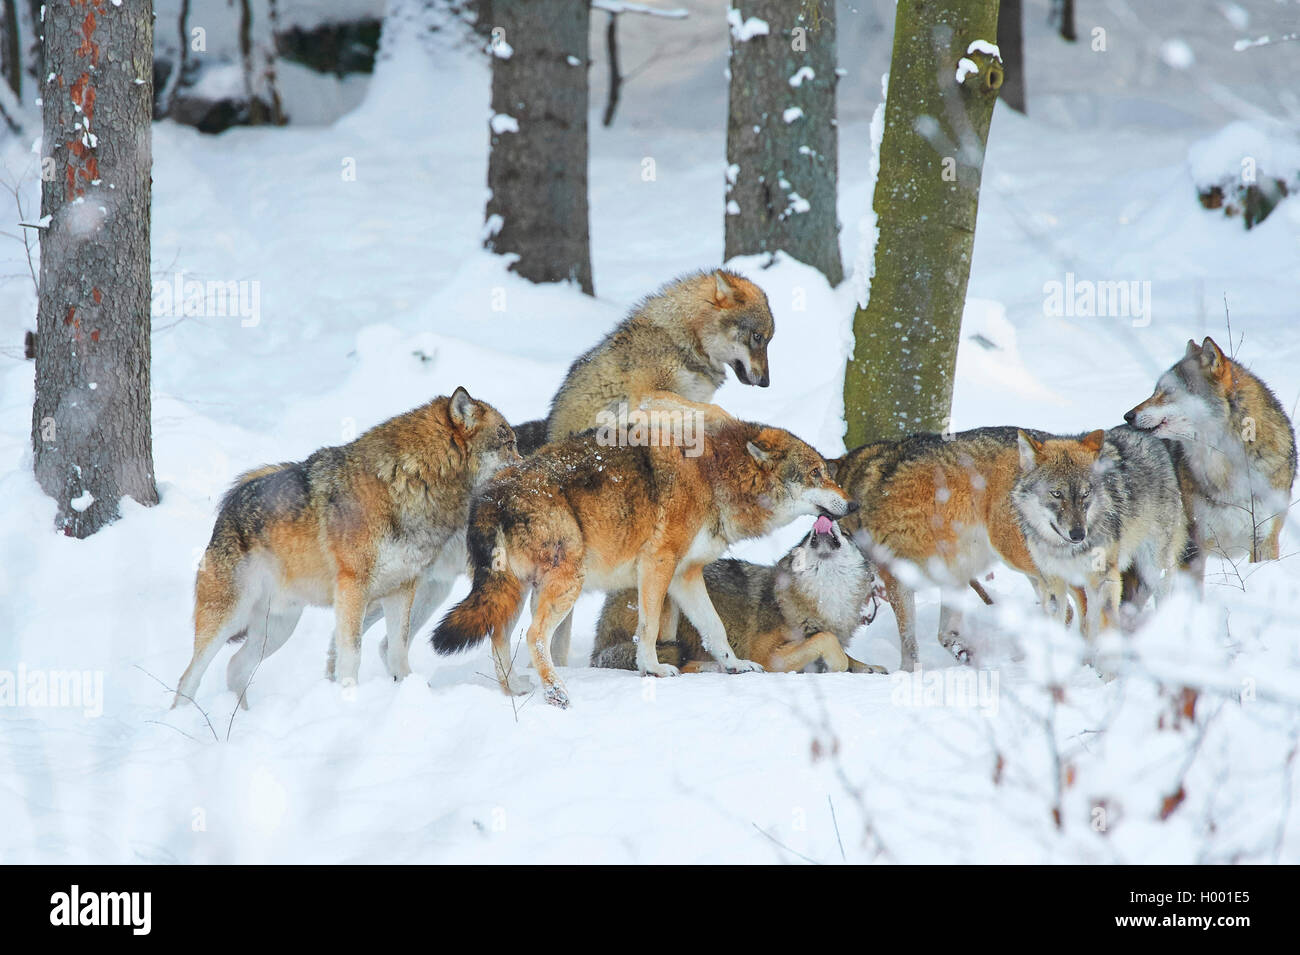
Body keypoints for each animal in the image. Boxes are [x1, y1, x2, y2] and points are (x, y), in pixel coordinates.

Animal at [173, 388, 519, 707]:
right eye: (510, 444)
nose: (527, 468)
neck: (413, 480)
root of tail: (230, 505)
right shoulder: (353, 588)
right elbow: (352, 653)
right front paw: (349, 698)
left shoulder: (403, 588)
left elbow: (397, 649)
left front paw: (407, 690)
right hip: (229, 618)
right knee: (189, 677)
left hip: (279, 628)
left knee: (235, 667)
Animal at [591, 515, 885, 674]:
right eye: (804, 538)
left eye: (845, 533)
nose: (823, 519)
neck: (825, 600)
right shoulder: (768, 654)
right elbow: (828, 641)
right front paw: (840, 666)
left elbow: (843, 650)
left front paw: (869, 667)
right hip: (667, 598)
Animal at [835, 428, 1055, 671]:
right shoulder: (955, 575)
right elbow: (946, 635)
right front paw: (969, 659)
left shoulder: (896, 578)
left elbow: (908, 642)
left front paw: (906, 673)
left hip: (1014, 554)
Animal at [1012, 427, 1188, 637]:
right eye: (1056, 494)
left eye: (1085, 493)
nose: (1078, 535)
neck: (1065, 550)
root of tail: (1146, 434)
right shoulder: (1053, 582)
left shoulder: (1103, 579)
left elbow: (1104, 625)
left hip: (1154, 567)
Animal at [1124, 337, 1296, 575]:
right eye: (1154, 391)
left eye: (1167, 391)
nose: (1127, 416)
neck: (1225, 467)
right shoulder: (1193, 544)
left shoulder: (1264, 540)